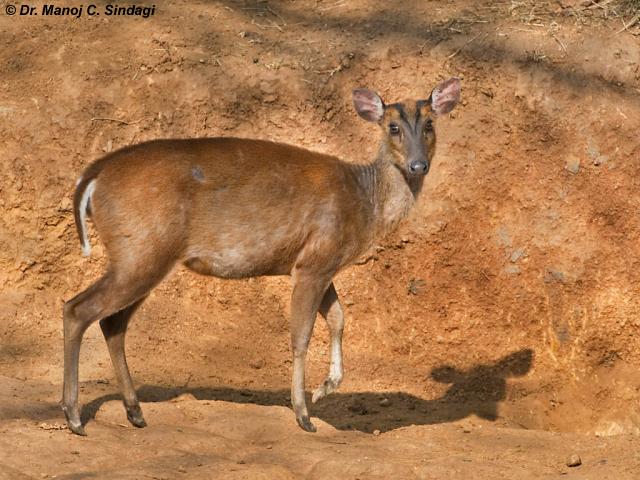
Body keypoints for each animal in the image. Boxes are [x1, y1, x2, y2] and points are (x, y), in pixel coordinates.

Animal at [62, 78, 461, 435]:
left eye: (429, 124)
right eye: (393, 126)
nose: (418, 166)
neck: (365, 201)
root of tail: (91, 178)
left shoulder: (323, 263)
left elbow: (338, 320)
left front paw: (325, 388)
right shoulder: (313, 262)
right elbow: (301, 336)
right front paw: (303, 414)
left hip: (143, 254)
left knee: (112, 322)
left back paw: (134, 412)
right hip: (142, 249)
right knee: (78, 309)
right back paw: (75, 416)